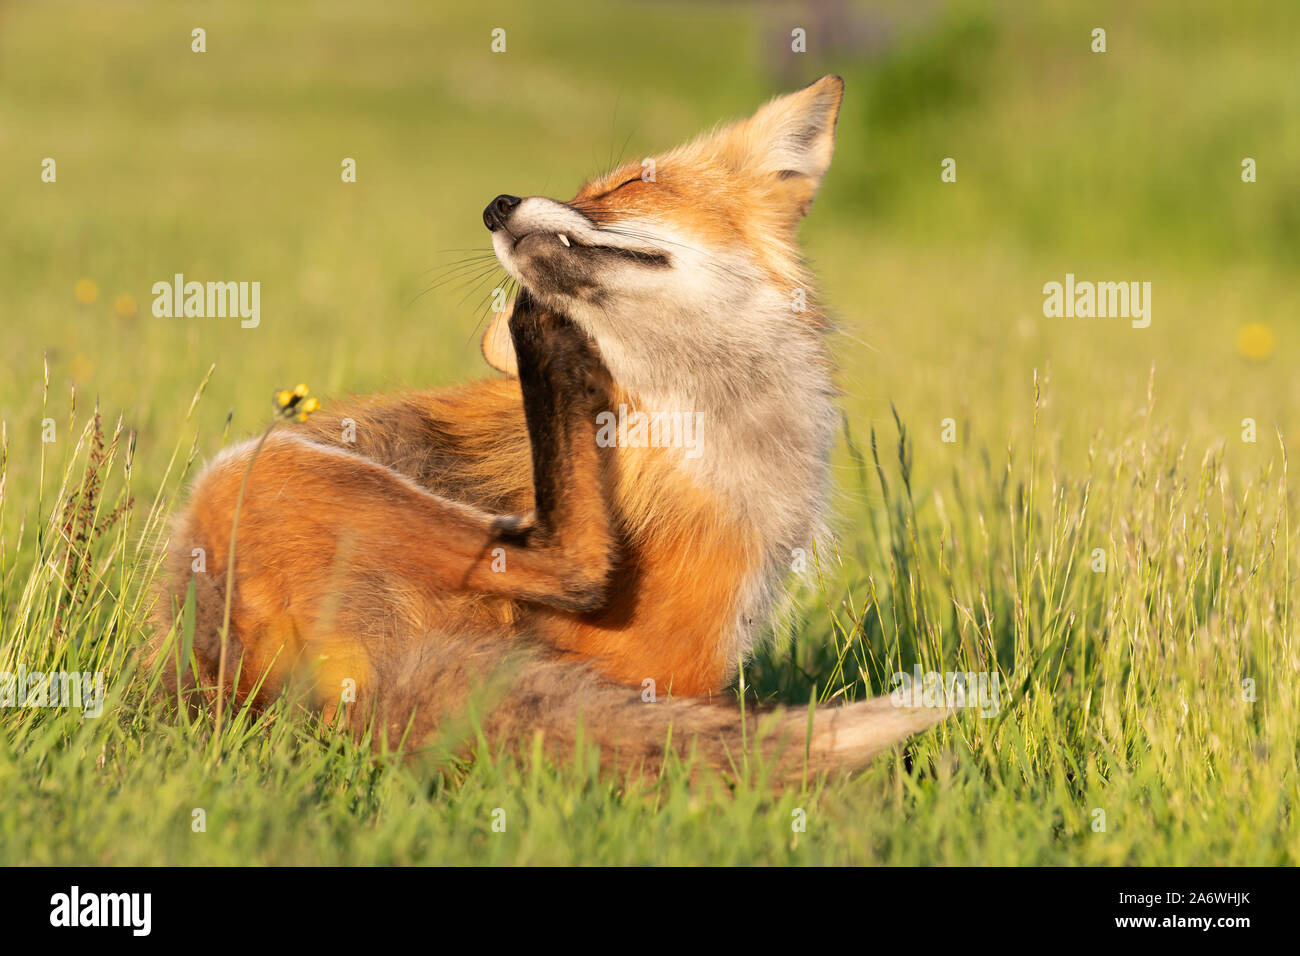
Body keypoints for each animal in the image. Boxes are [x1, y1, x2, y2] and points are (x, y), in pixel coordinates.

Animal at [149, 75, 950, 781]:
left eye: (627, 186)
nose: (495, 205)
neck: (700, 433)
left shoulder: (689, 656)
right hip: (259, 464)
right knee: (572, 562)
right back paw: (541, 335)